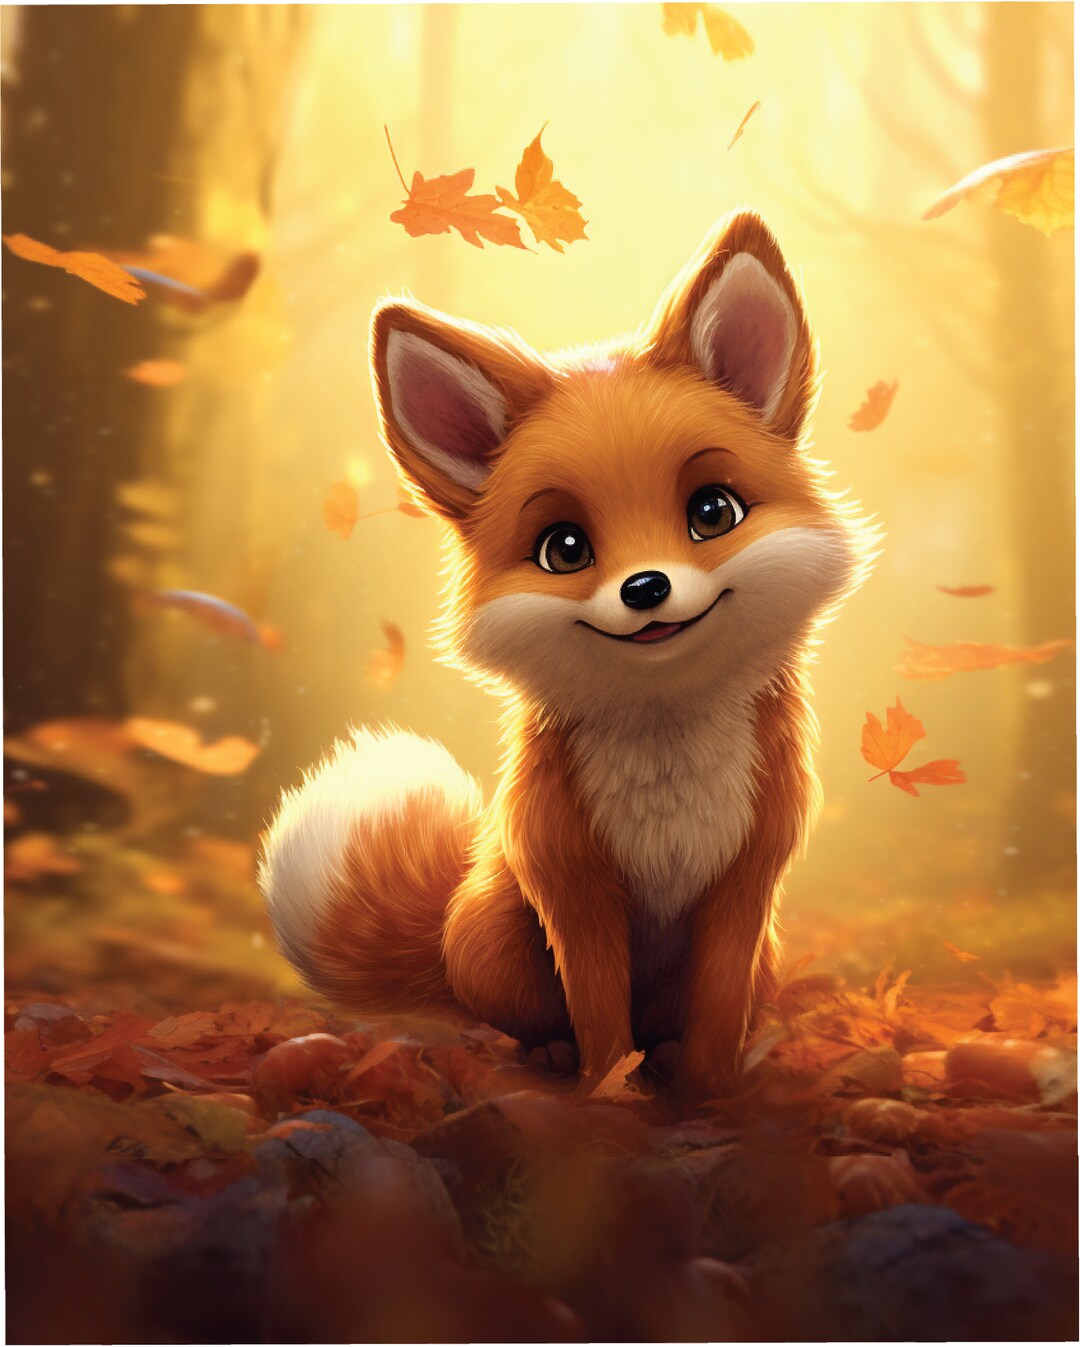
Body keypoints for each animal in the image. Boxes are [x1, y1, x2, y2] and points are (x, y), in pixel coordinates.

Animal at [259, 210, 874, 1100]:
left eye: (713, 511)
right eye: (565, 548)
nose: (646, 587)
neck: (667, 769)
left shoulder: (745, 880)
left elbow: (716, 1011)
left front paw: (711, 1088)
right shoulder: (575, 888)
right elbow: (599, 1013)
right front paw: (607, 1091)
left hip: (766, 954)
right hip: (499, 937)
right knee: (525, 1018)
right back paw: (551, 1056)